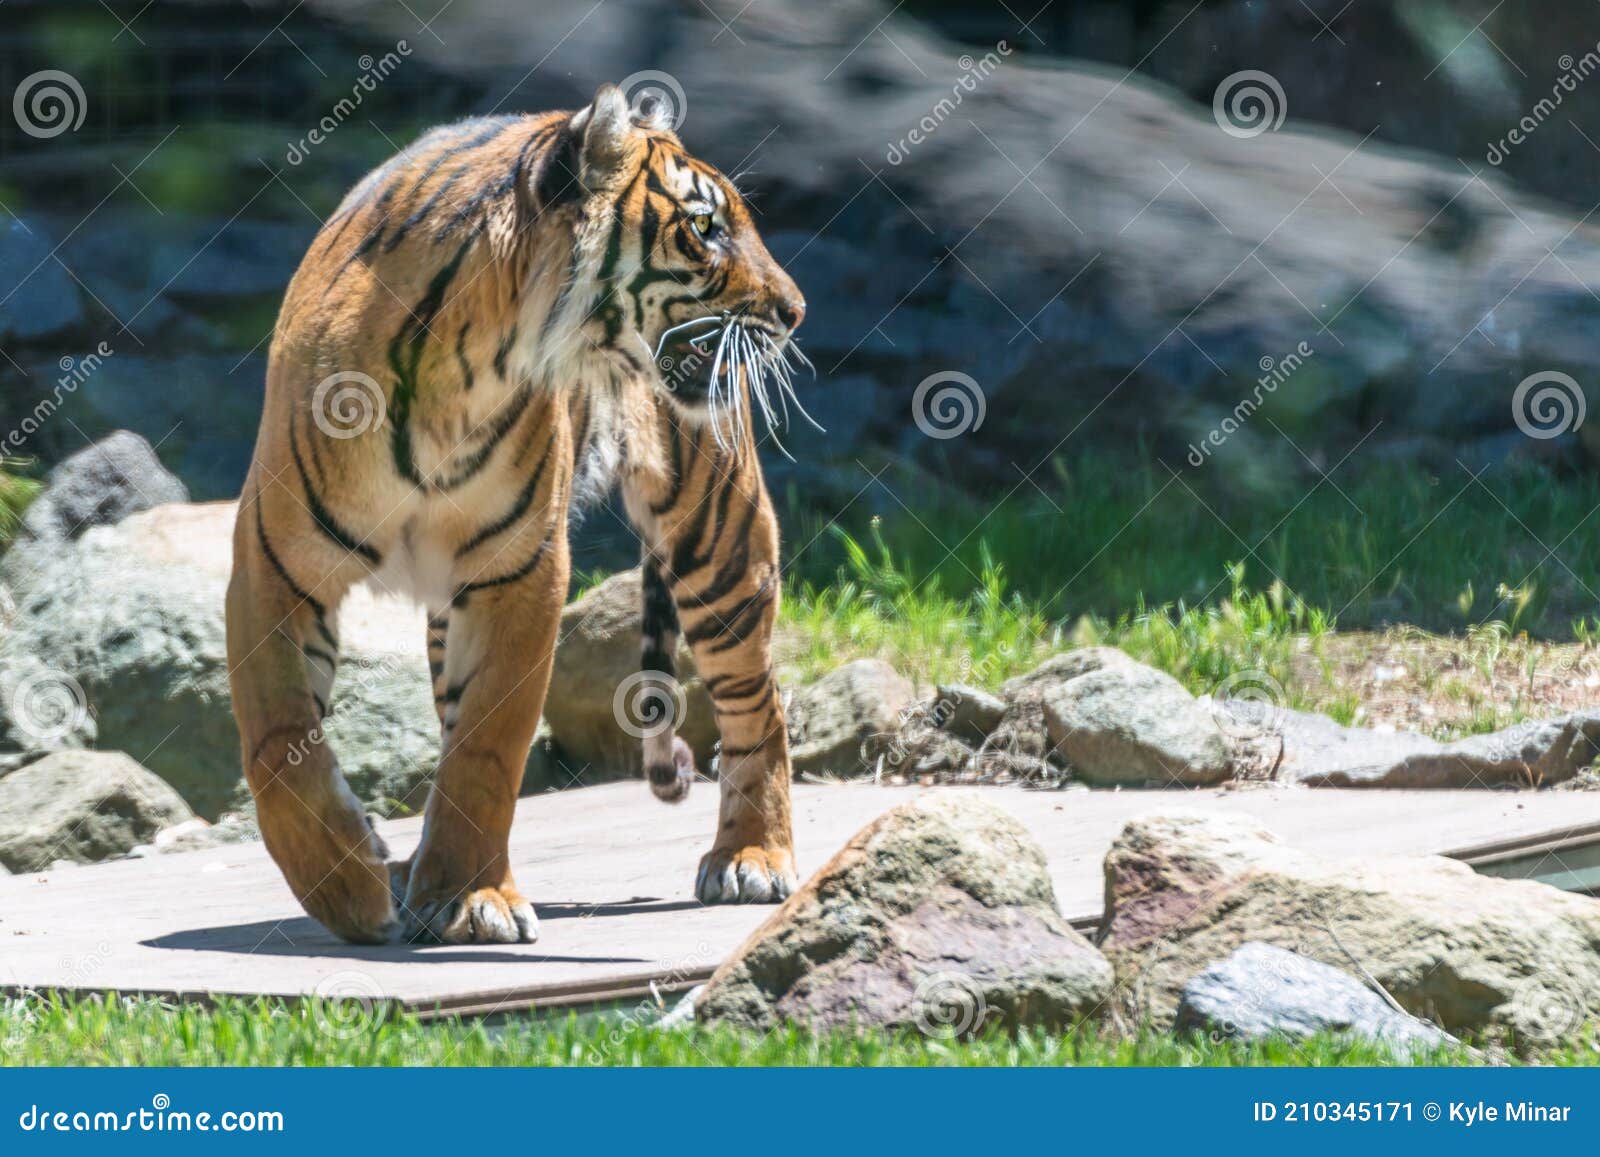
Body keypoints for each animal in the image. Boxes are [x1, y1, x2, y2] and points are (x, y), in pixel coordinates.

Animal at [225, 84, 808, 945]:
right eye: (705, 228)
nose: (796, 310)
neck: (466, 368)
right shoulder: (273, 563)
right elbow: (278, 741)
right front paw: (349, 886)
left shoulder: (521, 570)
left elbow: (488, 747)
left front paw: (470, 895)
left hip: (718, 534)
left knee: (756, 701)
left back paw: (753, 856)